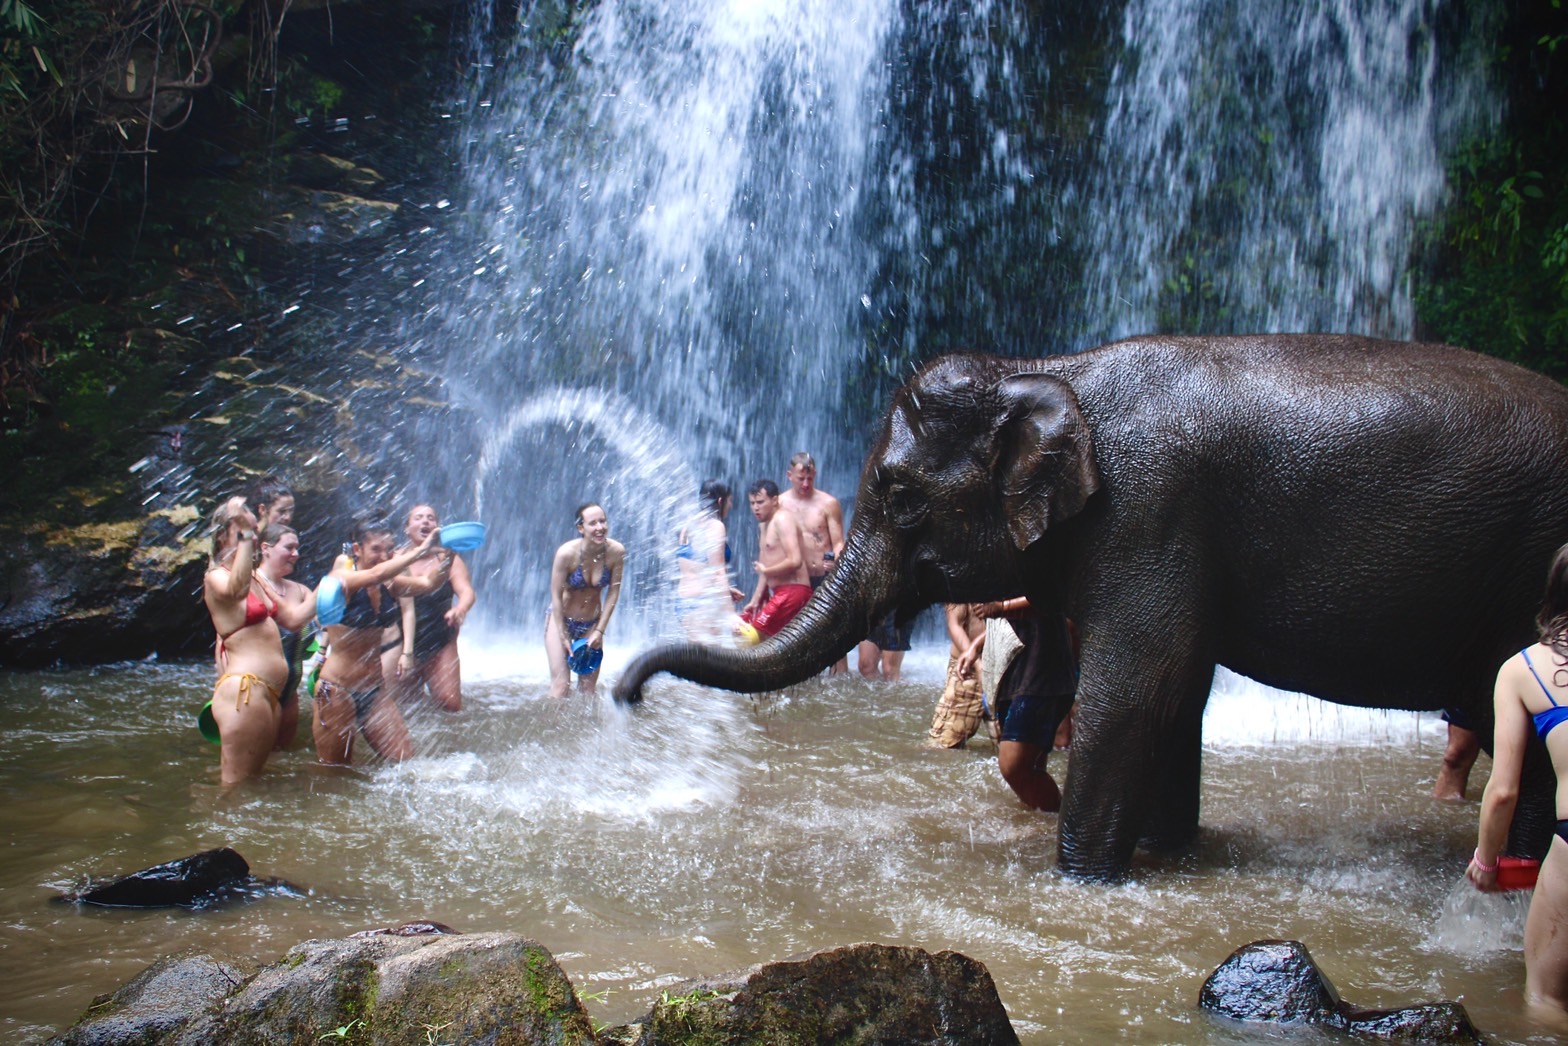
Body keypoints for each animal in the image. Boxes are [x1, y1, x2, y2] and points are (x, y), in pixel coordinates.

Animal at [614, 334, 1568, 881]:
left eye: (901, 495)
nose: (628, 695)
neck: (1048, 369)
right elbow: (1175, 698)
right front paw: (1164, 855)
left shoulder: (1155, 513)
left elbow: (1138, 691)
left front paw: (1083, 878)